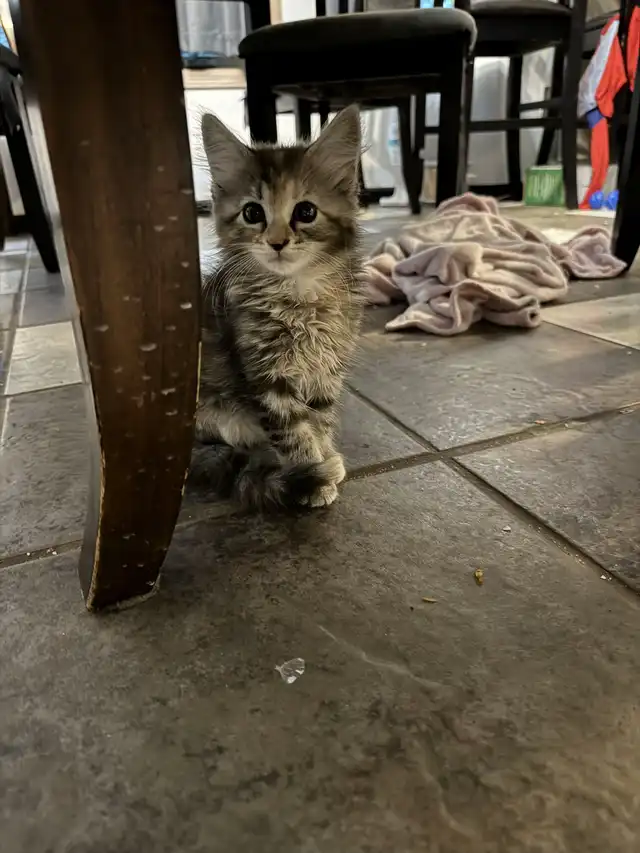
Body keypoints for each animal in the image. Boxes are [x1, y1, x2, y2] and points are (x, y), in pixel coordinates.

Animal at [196, 105, 364, 511]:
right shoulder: (267, 377)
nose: (277, 242)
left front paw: (324, 457)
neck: (297, 293)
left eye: (305, 211)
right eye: (253, 213)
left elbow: (319, 419)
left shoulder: (327, 369)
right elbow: (293, 429)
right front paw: (312, 474)